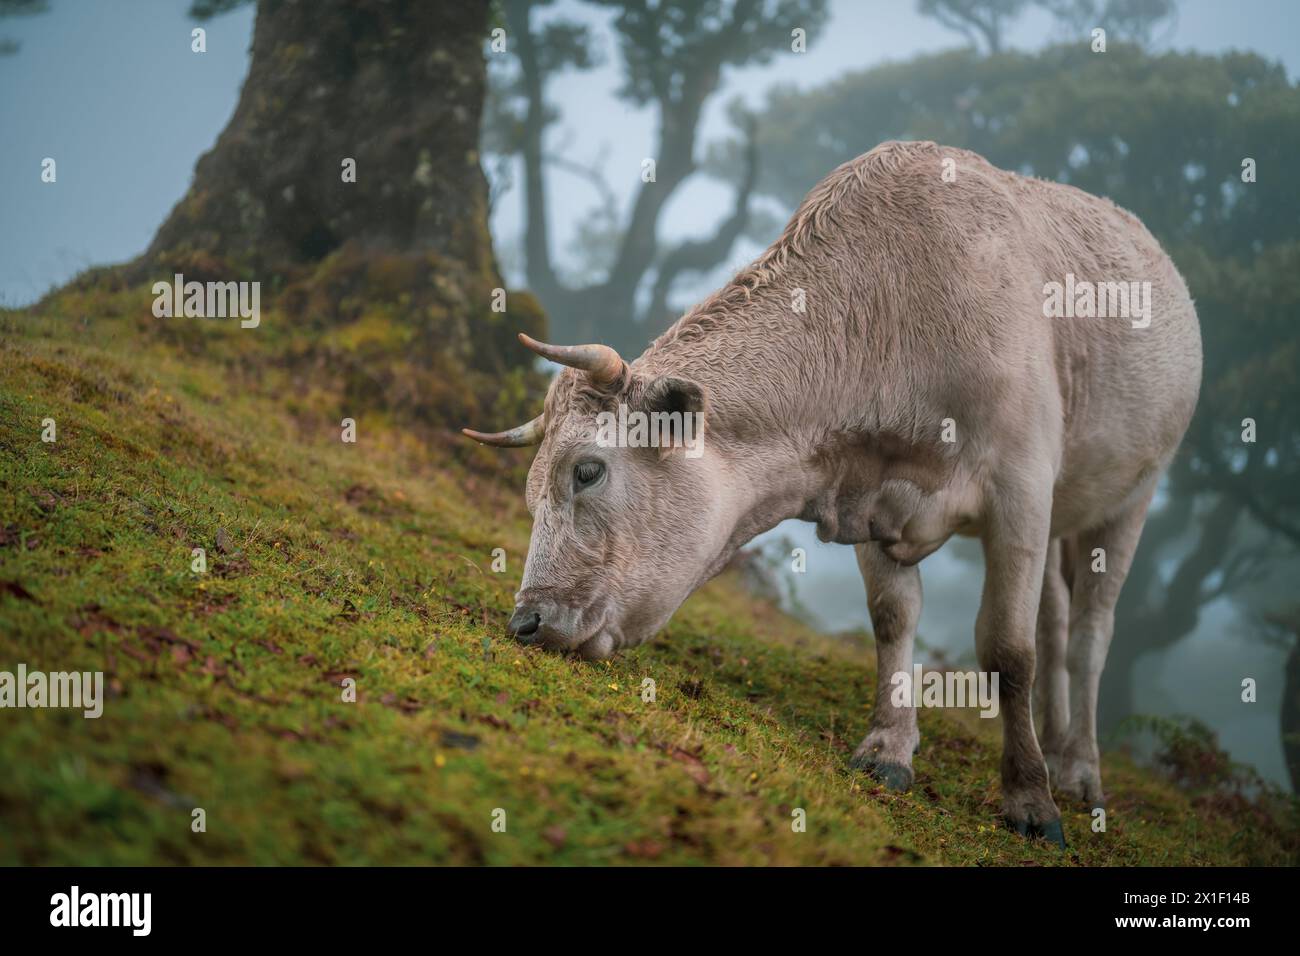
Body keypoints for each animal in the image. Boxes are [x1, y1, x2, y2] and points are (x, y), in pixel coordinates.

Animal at [465, 141, 1202, 845]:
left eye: (587, 471)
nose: (525, 622)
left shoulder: (1019, 487)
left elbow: (1005, 650)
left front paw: (1029, 800)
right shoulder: (871, 495)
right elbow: (894, 617)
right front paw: (889, 749)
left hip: (1133, 496)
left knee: (1089, 634)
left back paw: (1076, 770)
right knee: (1054, 622)